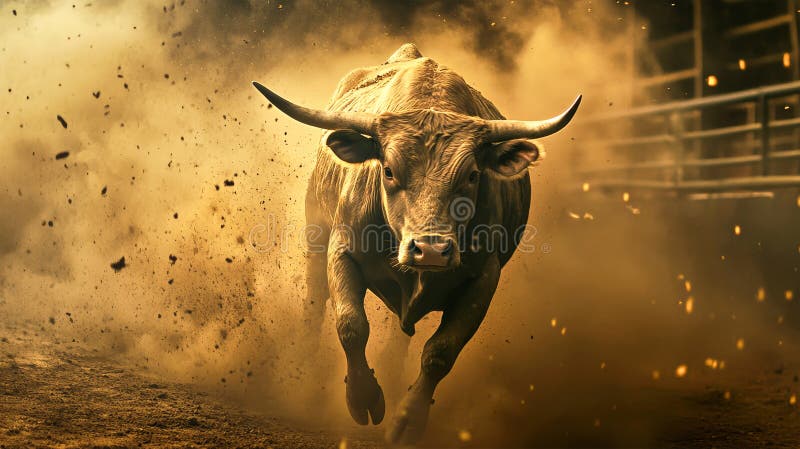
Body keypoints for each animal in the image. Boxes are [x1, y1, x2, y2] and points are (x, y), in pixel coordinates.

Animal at [252, 43, 580, 445]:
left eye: (472, 175)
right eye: (389, 171)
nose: (432, 250)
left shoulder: (483, 280)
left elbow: (440, 352)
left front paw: (407, 419)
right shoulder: (340, 250)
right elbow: (351, 325)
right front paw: (363, 399)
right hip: (315, 228)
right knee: (315, 300)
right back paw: (306, 366)